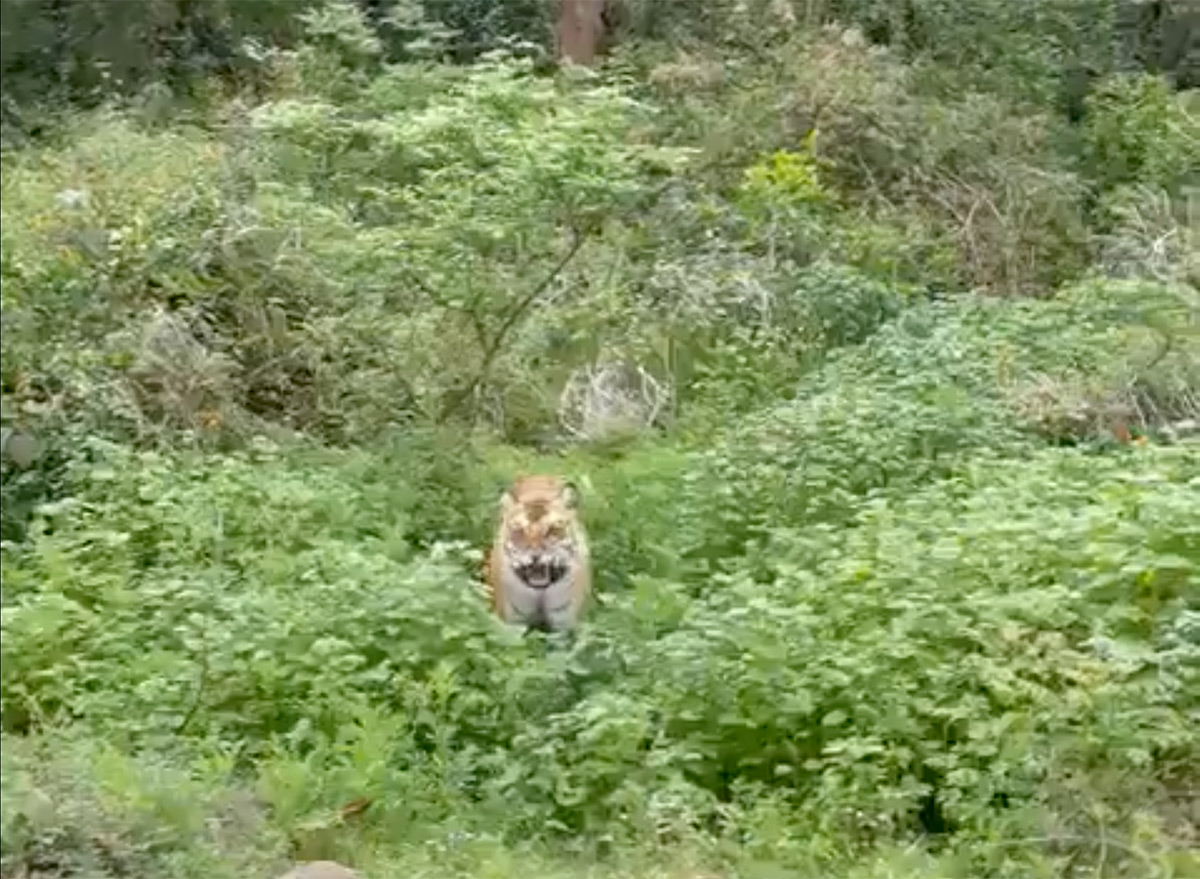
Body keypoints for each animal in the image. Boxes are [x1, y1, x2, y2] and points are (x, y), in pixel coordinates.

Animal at [484, 475, 591, 633]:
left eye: (552, 529)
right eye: (520, 531)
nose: (535, 556)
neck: (539, 593)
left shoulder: (565, 624)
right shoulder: (512, 623)